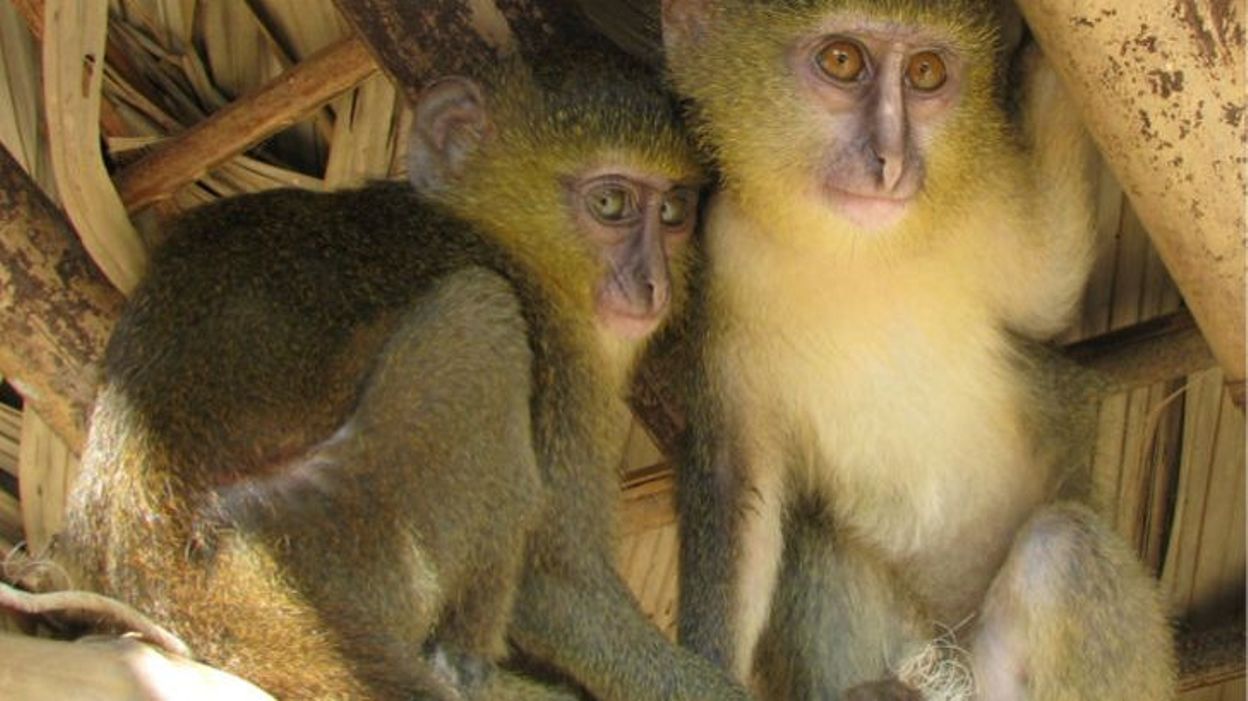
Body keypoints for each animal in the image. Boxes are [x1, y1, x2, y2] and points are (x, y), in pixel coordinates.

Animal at [57, 49, 753, 701]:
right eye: (611, 203)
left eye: (673, 212)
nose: (652, 282)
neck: (500, 233)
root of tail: (163, 563)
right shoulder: (560, 358)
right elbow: (555, 583)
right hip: (341, 538)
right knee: (478, 315)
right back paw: (466, 670)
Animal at [648, 0, 1177, 699]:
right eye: (842, 60)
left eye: (925, 73)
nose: (891, 162)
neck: (860, 250)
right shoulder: (720, 257)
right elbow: (739, 483)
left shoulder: (987, 196)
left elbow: (1052, 289)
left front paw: (1046, 57)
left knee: (1064, 548)